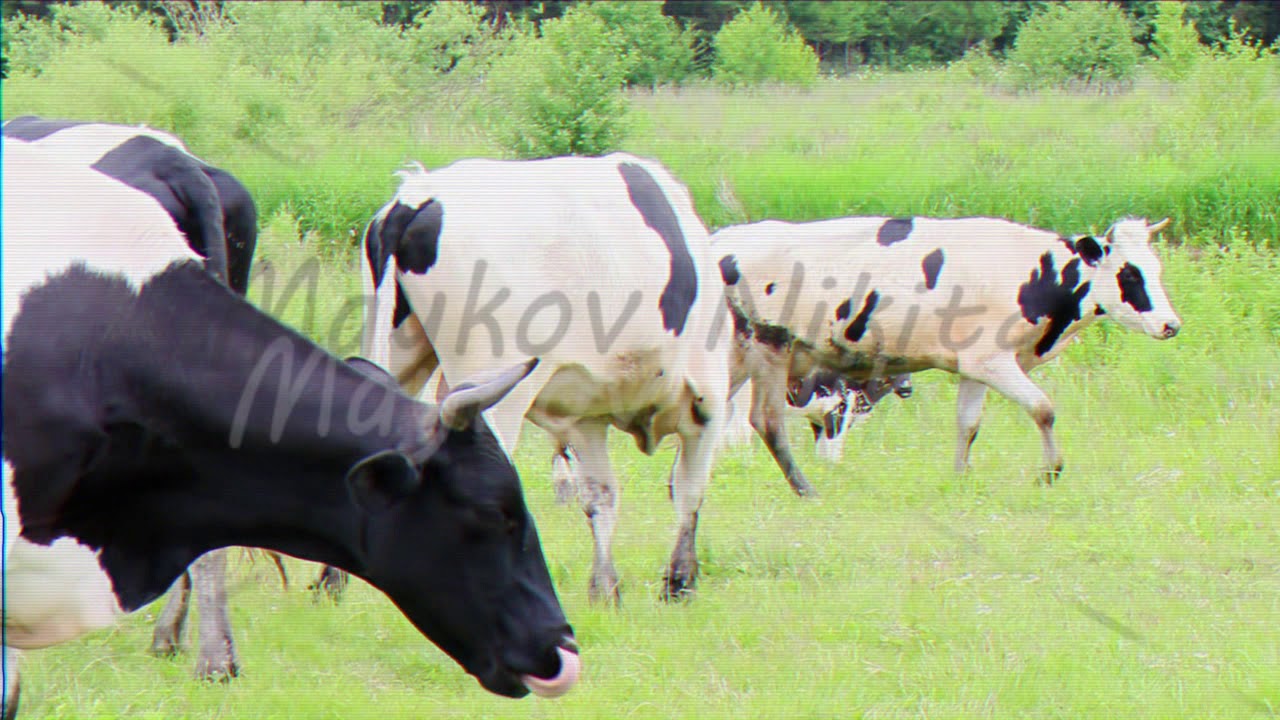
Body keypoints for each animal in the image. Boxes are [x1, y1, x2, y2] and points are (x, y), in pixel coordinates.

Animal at [310, 153, 733, 606]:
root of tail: (418, 195)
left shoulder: (585, 416)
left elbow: (600, 497)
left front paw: (605, 590)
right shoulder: (708, 398)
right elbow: (689, 490)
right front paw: (679, 582)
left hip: (402, 353)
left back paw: (332, 582)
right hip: (491, 392)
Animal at [713, 215, 1181, 492]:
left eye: (1157, 269)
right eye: (1129, 274)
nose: (1171, 325)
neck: (1031, 275)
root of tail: (720, 240)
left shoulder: (974, 365)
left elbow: (968, 424)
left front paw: (960, 475)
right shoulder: (995, 361)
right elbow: (1043, 409)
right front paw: (1050, 471)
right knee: (758, 421)